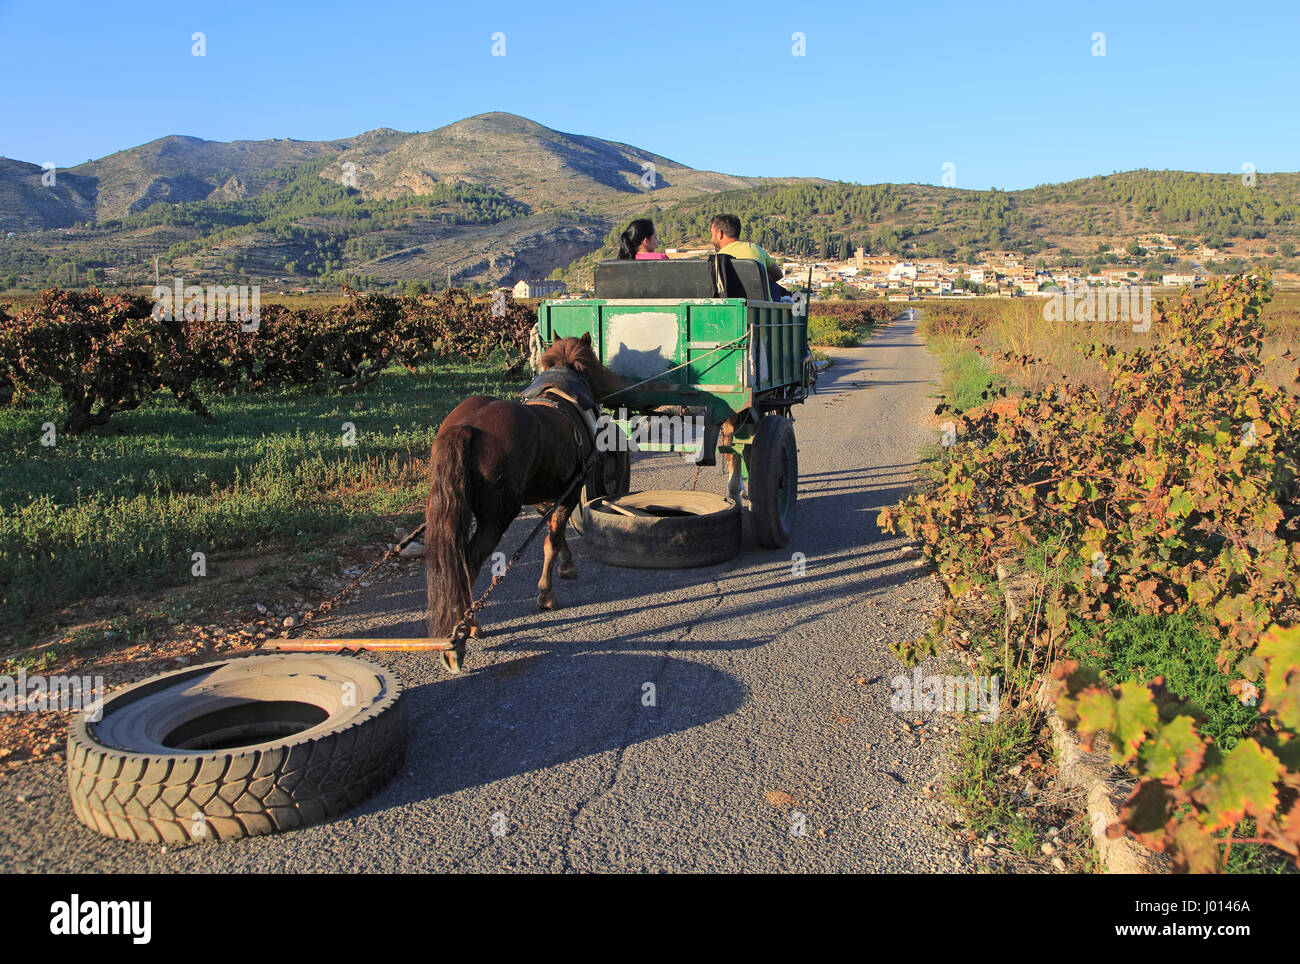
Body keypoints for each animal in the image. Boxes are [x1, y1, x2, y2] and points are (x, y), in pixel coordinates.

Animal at [424, 333, 620, 673]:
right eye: (594, 360)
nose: (610, 388)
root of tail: (466, 426)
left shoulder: (546, 497)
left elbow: (556, 535)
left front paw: (567, 567)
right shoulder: (569, 491)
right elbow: (551, 540)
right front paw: (547, 596)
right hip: (497, 517)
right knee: (469, 561)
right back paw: (470, 625)